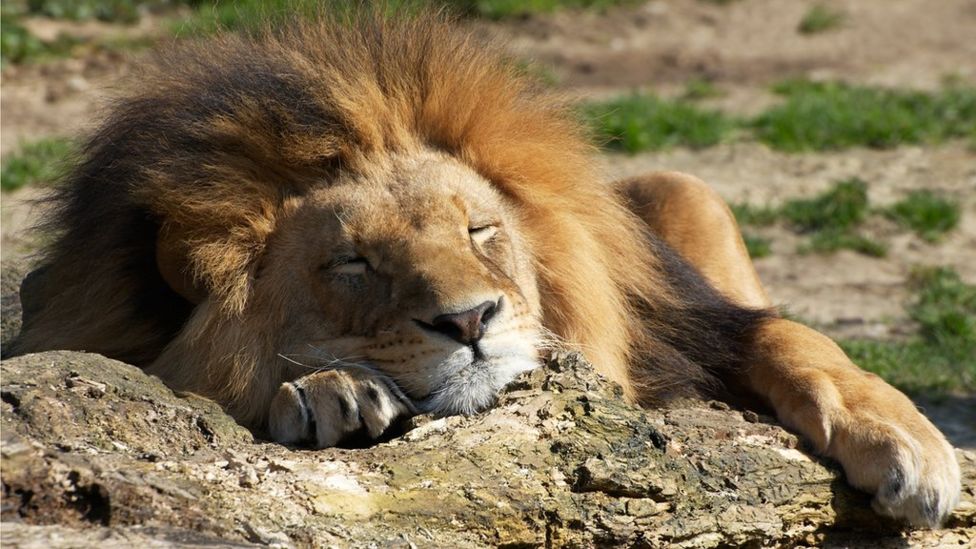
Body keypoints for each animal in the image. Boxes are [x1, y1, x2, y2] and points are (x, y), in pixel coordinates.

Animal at [8, 11, 959, 527]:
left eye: (480, 231)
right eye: (352, 262)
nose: (469, 321)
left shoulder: (689, 317)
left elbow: (798, 339)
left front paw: (912, 445)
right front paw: (328, 393)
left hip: (683, 188)